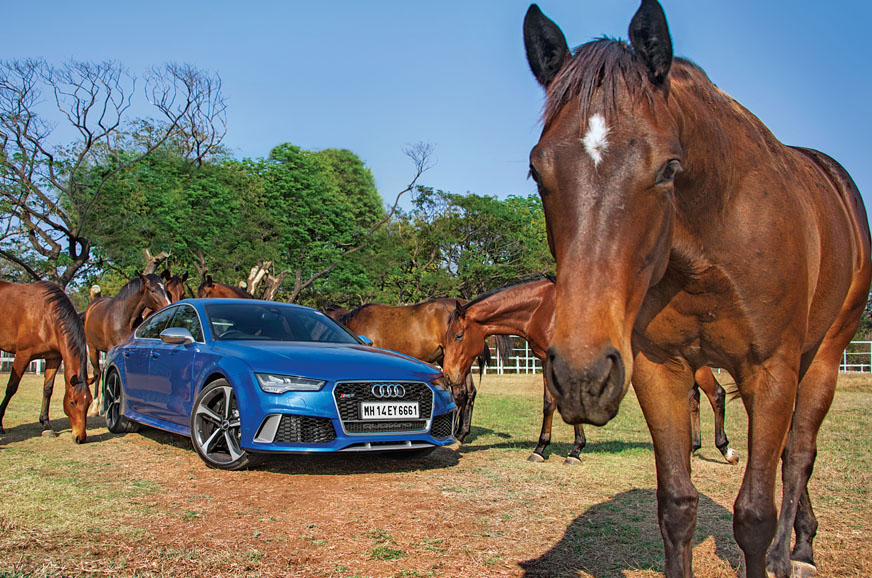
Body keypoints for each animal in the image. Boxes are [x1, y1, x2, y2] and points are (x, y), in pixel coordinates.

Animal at [0, 281, 92, 443]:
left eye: (89, 402)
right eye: (72, 402)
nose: (80, 437)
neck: (47, 318)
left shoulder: (53, 358)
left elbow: (48, 389)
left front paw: (46, 424)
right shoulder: (23, 355)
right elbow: (11, 387)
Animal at [84, 273, 171, 414]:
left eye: (166, 290)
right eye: (152, 290)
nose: (169, 305)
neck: (125, 317)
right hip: (93, 349)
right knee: (98, 373)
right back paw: (96, 407)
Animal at [442, 277, 737, 465]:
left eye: (458, 336)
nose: (448, 374)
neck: (545, 309)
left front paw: (574, 452)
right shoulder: (545, 361)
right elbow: (548, 404)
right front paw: (541, 448)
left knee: (716, 395)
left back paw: (726, 450)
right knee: (693, 399)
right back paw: (693, 448)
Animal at [523, 2, 871, 577]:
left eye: (669, 168)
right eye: (536, 171)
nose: (581, 376)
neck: (709, 246)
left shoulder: (769, 369)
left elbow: (754, 515)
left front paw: (774, 548)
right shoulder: (660, 370)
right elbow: (677, 506)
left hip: (822, 357)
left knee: (798, 455)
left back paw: (795, 552)